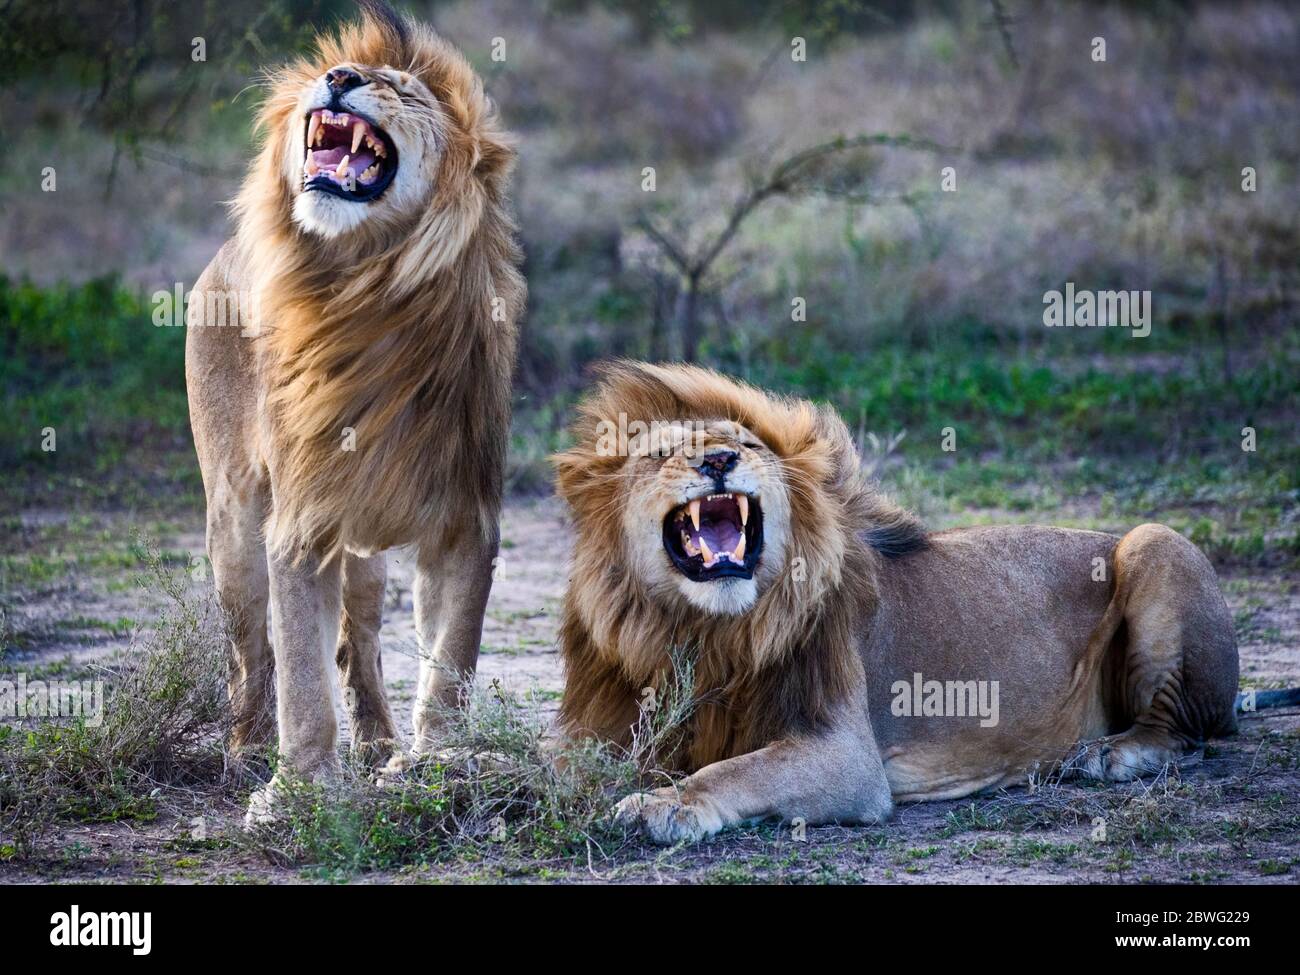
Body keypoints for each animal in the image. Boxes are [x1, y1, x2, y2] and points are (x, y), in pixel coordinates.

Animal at [185, 1, 524, 821]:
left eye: (400, 88)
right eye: (337, 74)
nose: (338, 77)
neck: (368, 290)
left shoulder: (466, 520)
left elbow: (451, 661)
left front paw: (435, 763)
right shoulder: (299, 524)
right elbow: (301, 673)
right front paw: (299, 788)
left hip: (365, 547)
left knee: (361, 635)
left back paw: (376, 742)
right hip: (233, 522)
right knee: (251, 649)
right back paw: (246, 751)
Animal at [552, 361, 1241, 844]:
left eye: (746, 445)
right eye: (661, 453)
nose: (718, 460)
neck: (706, 629)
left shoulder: (846, 756)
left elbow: (736, 770)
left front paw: (666, 804)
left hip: (1155, 542)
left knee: (1180, 731)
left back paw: (1109, 754)